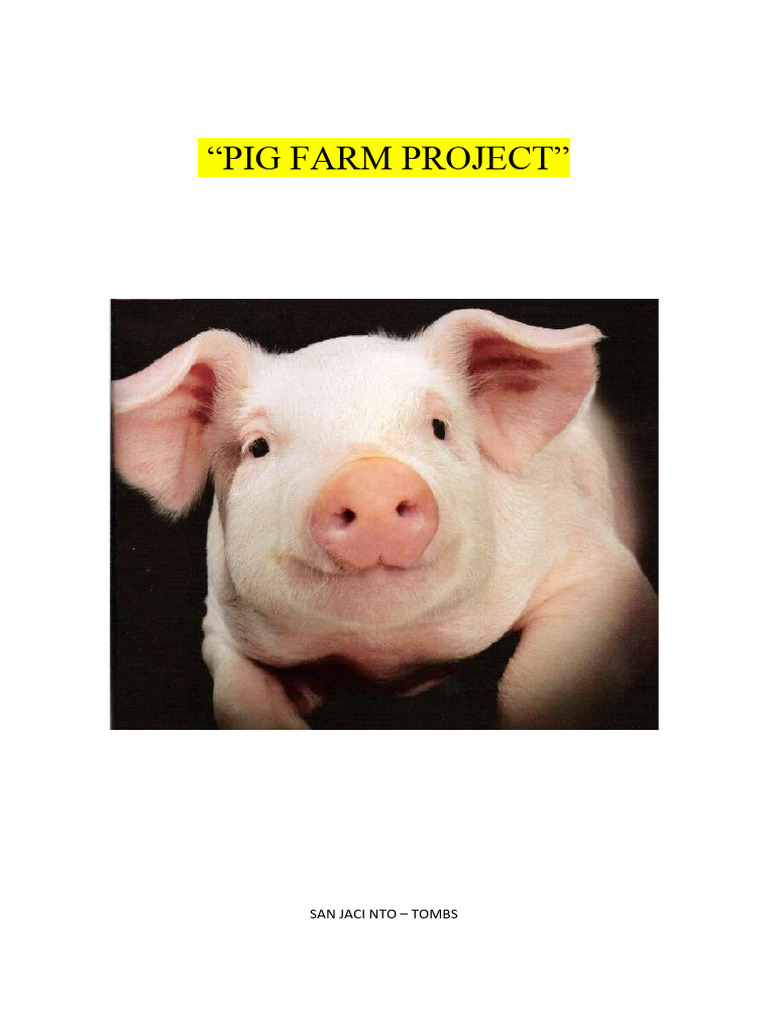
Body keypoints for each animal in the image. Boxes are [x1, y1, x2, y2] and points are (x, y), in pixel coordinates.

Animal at [112, 308, 657, 729]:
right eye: (257, 447)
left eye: (439, 427)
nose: (371, 479)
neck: (387, 658)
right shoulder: (220, 623)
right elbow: (238, 704)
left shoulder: (596, 565)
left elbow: (534, 685)